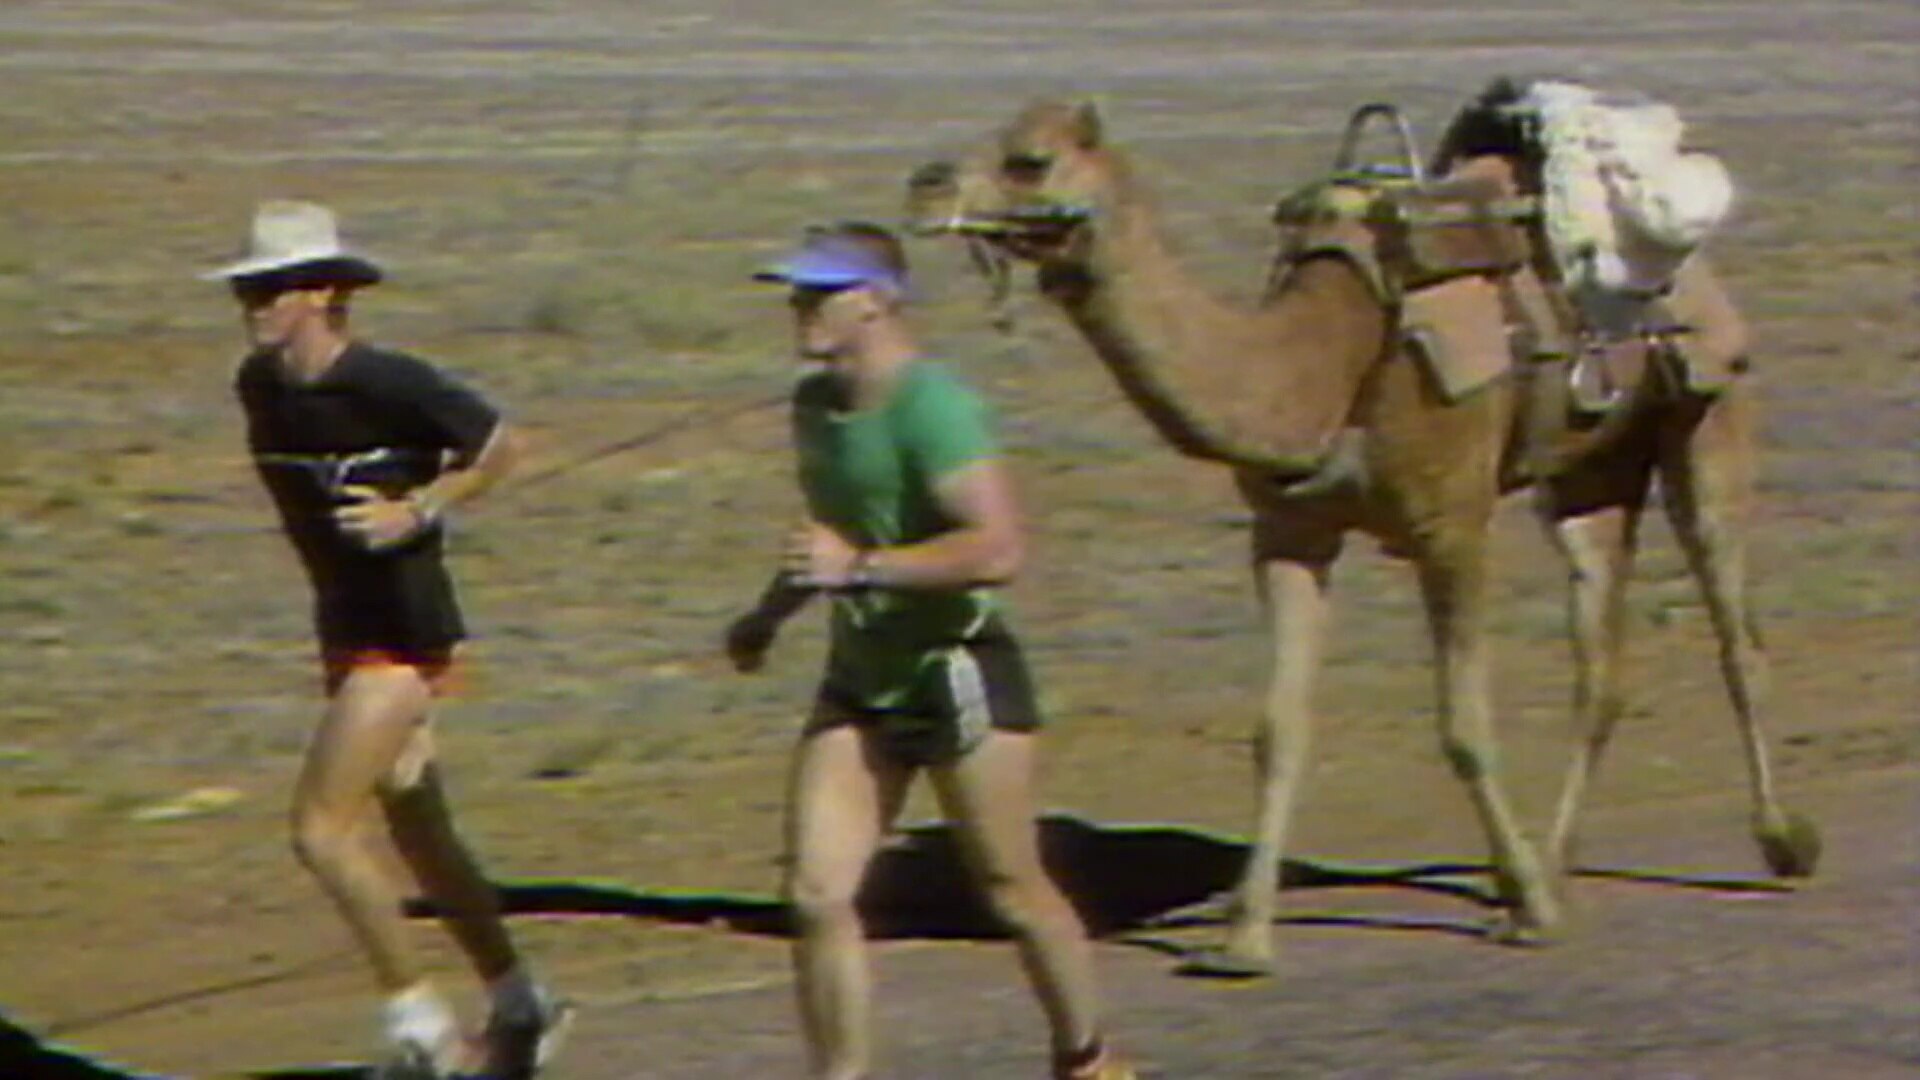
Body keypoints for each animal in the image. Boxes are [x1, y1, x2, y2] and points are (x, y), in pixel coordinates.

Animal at [903, 90, 1820, 977]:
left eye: (1029, 160)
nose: (924, 184)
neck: (1316, 362)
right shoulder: (1288, 532)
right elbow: (1278, 729)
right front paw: (1243, 941)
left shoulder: (1452, 523)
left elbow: (1463, 727)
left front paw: (1528, 913)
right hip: (1589, 469)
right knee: (1600, 666)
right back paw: (1558, 866)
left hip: (1707, 406)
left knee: (1736, 632)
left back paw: (1781, 843)